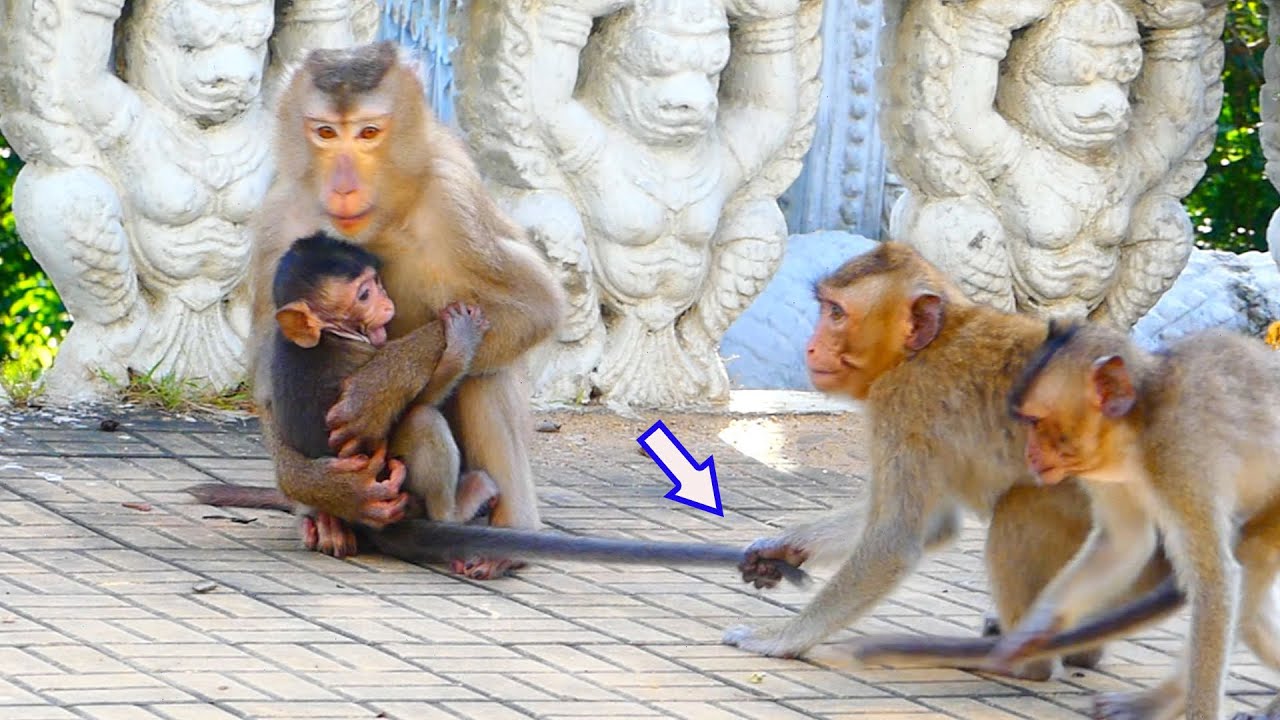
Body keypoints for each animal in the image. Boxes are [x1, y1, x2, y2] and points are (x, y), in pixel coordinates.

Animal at [265, 231, 499, 529]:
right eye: (365, 295)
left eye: (376, 283)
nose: (386, 302)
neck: (329, 335)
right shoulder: (360, 355)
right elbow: (422, 398)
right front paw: (462, 340)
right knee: (422, 420)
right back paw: (452, 511)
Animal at [720, 242, 1172, 682]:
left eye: (836, 313)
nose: (811, 346)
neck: (923, 348)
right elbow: (934, 524)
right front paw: (784, 546)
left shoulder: (902, 405)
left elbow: (895, 540)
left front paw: (781, 637)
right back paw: (1081, 650)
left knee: (1019, 510)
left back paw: (1023, 661)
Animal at [977, 320, 1280, 720]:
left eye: (1034, 421)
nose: (1029, 452)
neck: (1137, 428)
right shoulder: (1106, 473)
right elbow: (1124, 545)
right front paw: (1033, 631)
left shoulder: (1180, 455)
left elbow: (1215, 580)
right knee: (1252, 610)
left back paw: (1163, 701)